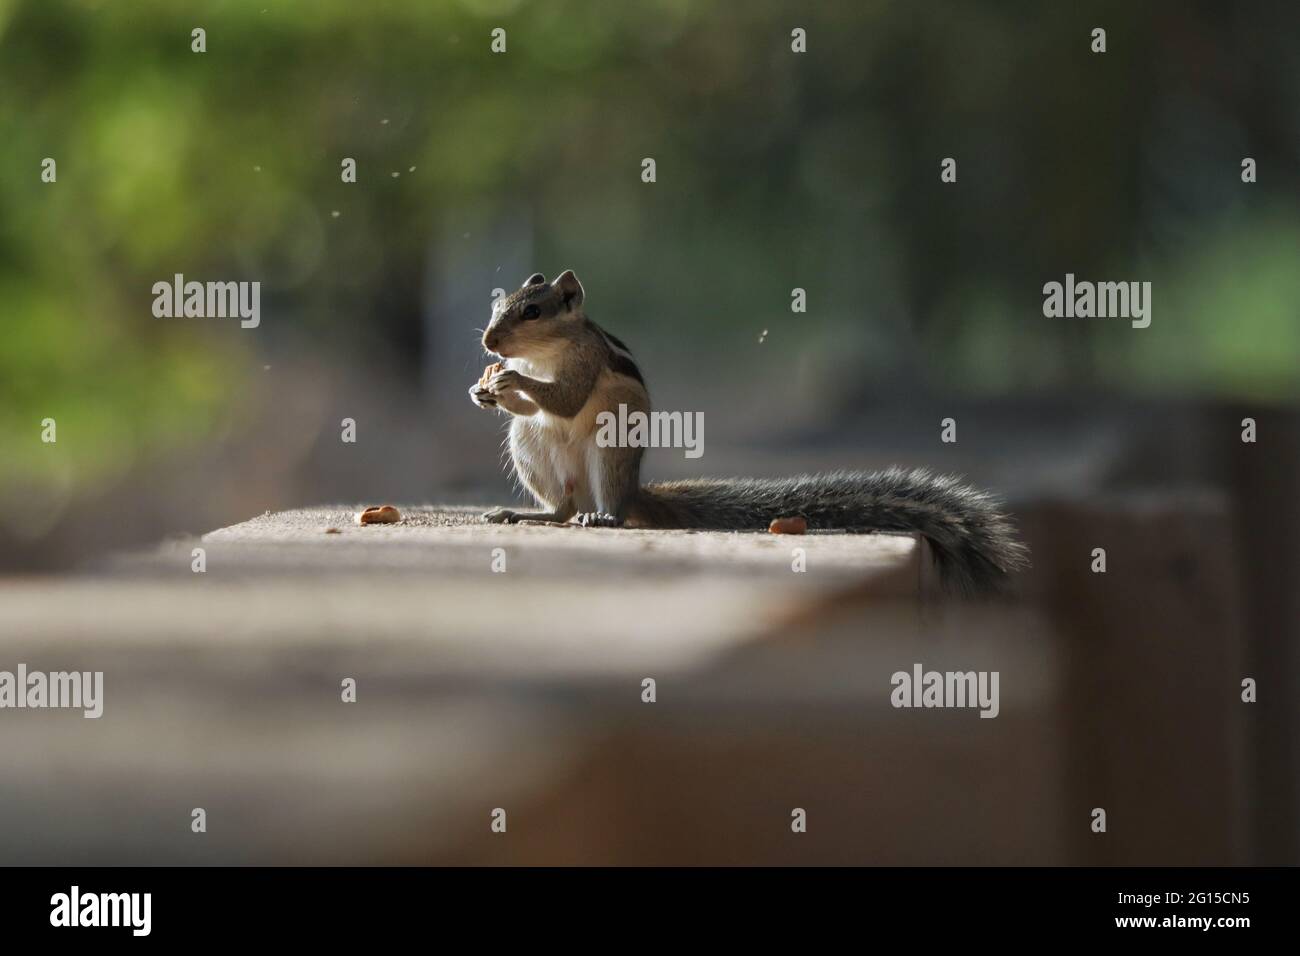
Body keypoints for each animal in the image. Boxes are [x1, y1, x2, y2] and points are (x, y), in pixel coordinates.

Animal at [469, 270, 1029, 593]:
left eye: (532, 311)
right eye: (496, 306)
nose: (490, 342)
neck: (546, 352)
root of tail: (628, 489)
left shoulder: (584, 363)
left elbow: (565, 399)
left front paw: (511, 380)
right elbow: (532, 406)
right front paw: (486, 389)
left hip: (608, 455)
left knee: (606, 507)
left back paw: (601, 517)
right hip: (529, 446)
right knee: (560, 507)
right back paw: (525, 514)